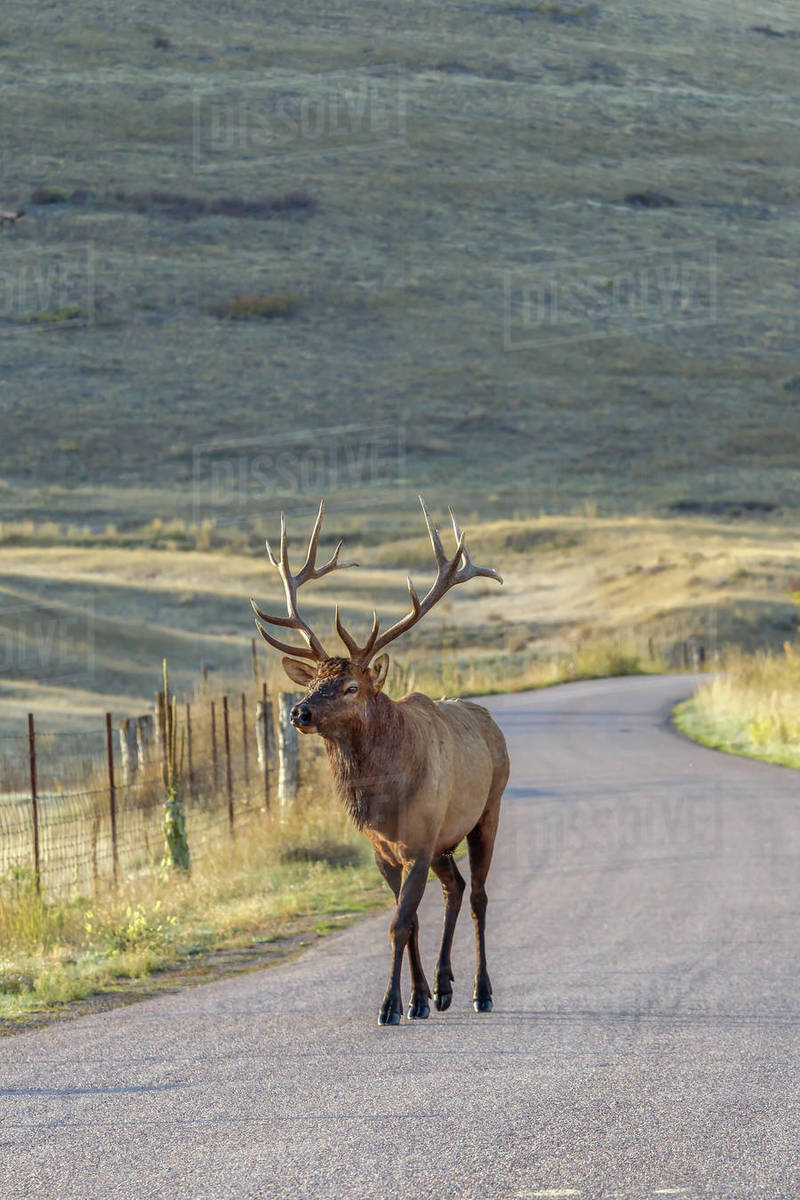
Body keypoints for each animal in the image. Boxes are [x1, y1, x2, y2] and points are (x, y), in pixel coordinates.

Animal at [251, 497, 510, 1025]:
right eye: (312, 682)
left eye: (351, 686)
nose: (298, 711)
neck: (383, 797)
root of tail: (488, 717)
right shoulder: (384, 849)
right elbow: (407, 923)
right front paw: (419, 997)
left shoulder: (419, 840)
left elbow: (399, 923)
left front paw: (390, 1005)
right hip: (444, 840)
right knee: (454, 889)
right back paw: (445, 985)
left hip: (487, 810)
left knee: (478, 895)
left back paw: (481, 990)